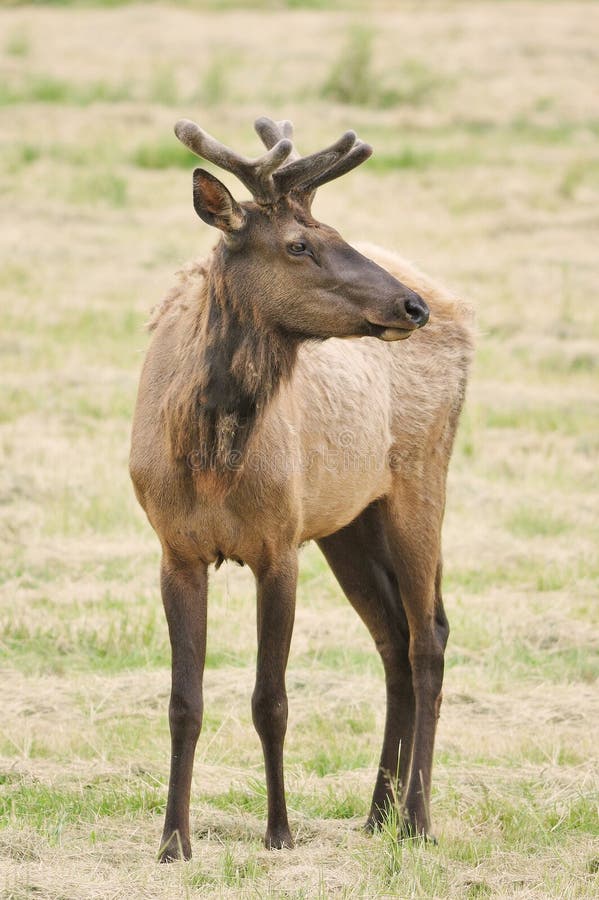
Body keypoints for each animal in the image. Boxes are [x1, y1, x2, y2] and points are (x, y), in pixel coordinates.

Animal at [129, 115, 474, 862]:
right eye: (298, 243)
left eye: (335, 231)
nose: (411, 306)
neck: (210, 458)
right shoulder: (175, 548)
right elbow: (183, 701)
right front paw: (173, 841)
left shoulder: (279, 543)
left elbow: (271, 698)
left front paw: (279, 832)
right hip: (349, 520)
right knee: (391, 638)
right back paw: (375, 813)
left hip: (421, 477)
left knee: (428, 635)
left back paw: (416, 819)